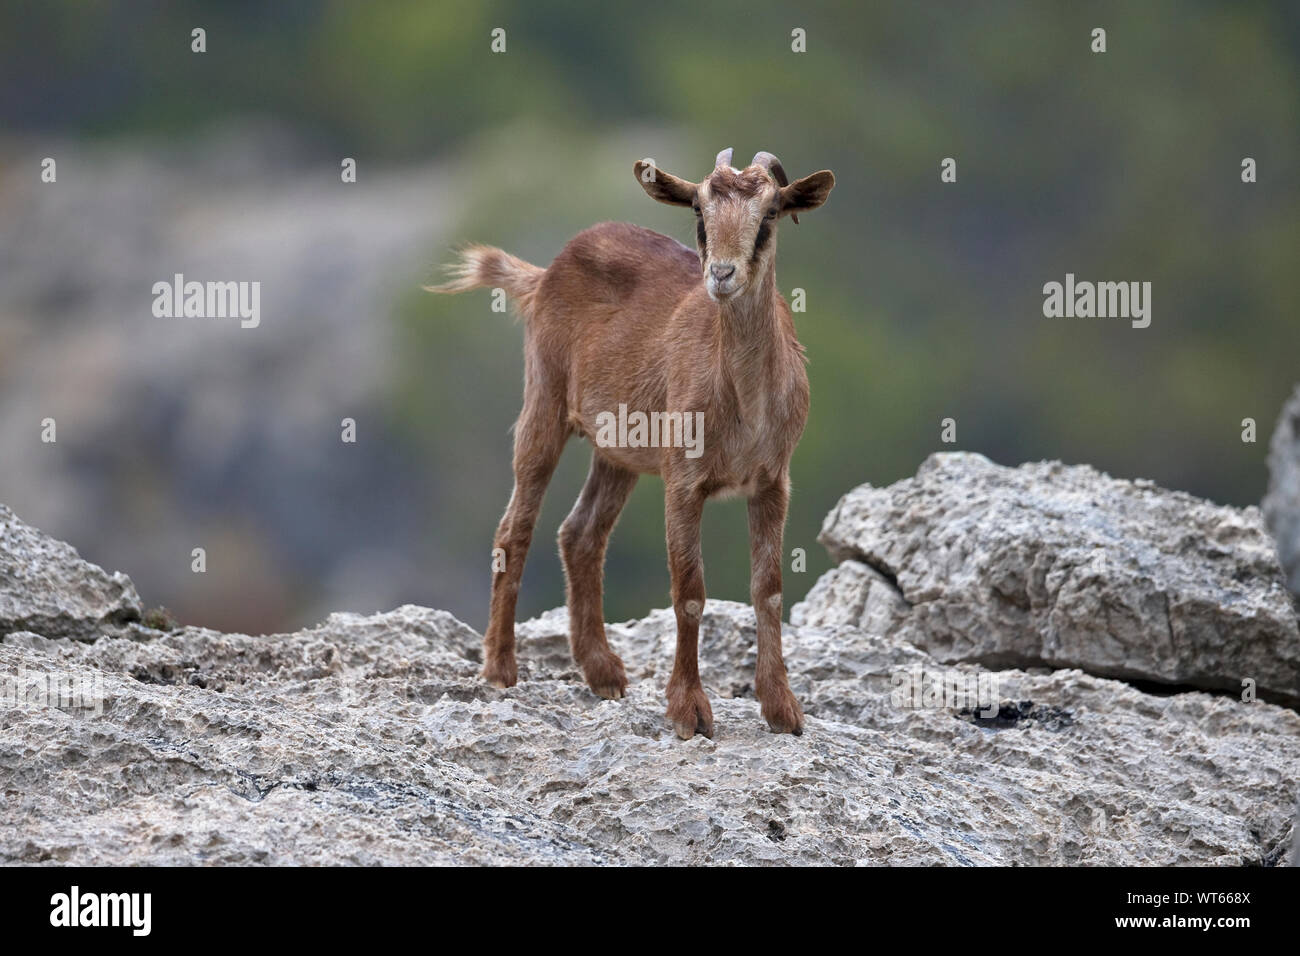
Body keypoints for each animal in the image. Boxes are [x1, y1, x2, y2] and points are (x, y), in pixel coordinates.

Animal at [428, 147, 835, 739]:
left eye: (770, 216)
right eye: (698, 212)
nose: (722, 275)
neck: (743, 401)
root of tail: (545, 275)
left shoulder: (773, 480)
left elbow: (770, 588)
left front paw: (783, 708)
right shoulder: (684, 478)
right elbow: (689, 592)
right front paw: (690, 711)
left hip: (616, 449)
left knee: (580, 534)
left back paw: (604, 673)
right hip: (544, 398)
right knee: (514, 527)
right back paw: (501, 667)